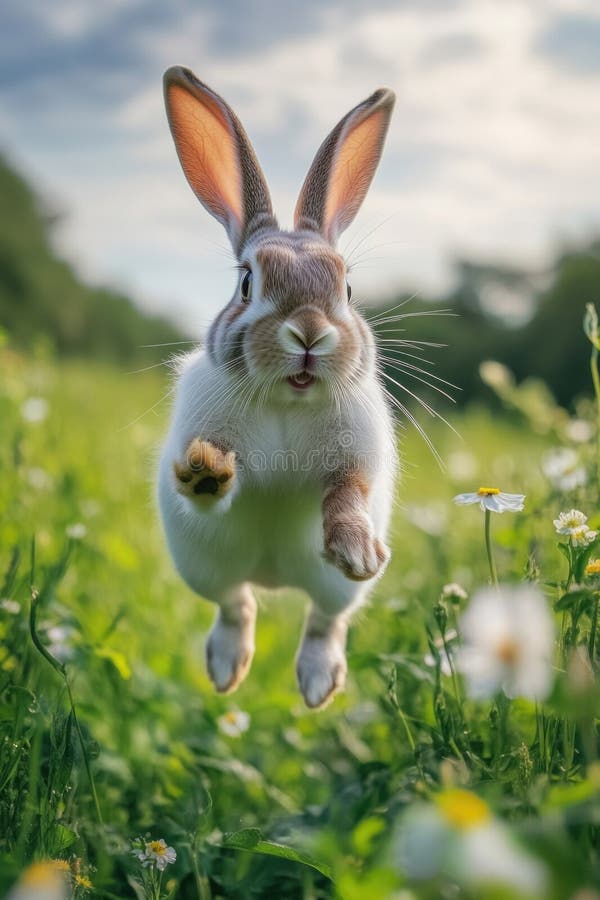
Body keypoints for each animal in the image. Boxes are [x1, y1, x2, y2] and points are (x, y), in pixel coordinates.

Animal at [158, 65, 398, 709]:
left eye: (347, 288)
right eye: (247, 283)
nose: (309, 332)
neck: (286, 401)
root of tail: (273, 579)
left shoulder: (354, 459)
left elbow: (346, 494)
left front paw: (358, 549)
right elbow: (208, 486)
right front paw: (208, 474)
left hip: (329, 589)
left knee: (325, 619)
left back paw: (317, 686)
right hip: (202, 565)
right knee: (235, 605)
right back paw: (226, 669)